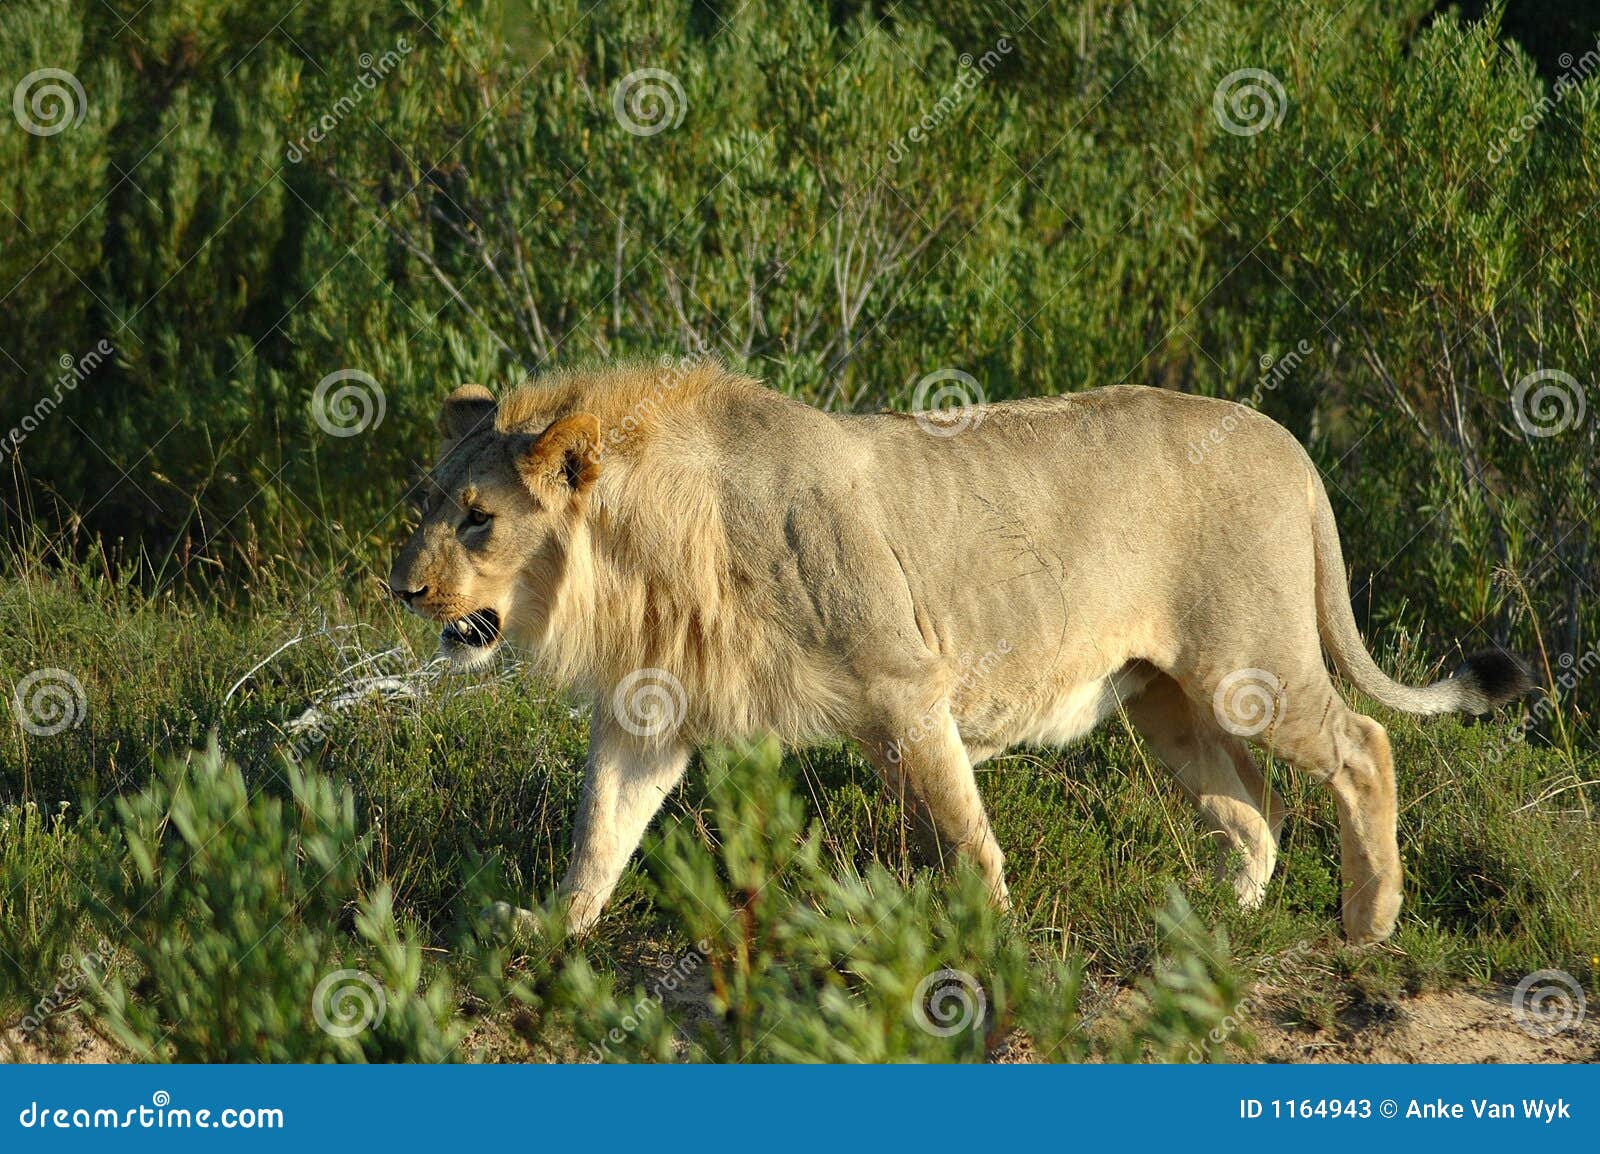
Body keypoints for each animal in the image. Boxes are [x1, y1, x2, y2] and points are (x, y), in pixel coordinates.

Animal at [388, 359, 1528, 944]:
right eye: (427, 503)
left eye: (480, 519)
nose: (404, 589)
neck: (642, 556)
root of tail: (1287, 440)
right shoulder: (650, 709)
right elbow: (603, 829)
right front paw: (553, 925)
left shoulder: (903, 685)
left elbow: (963, 827)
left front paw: (988, 937)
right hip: (1164, 698)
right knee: (1254, 802)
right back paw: (1222, 916)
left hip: (1250, 664)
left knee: (1364, 746)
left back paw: (1369, 920)